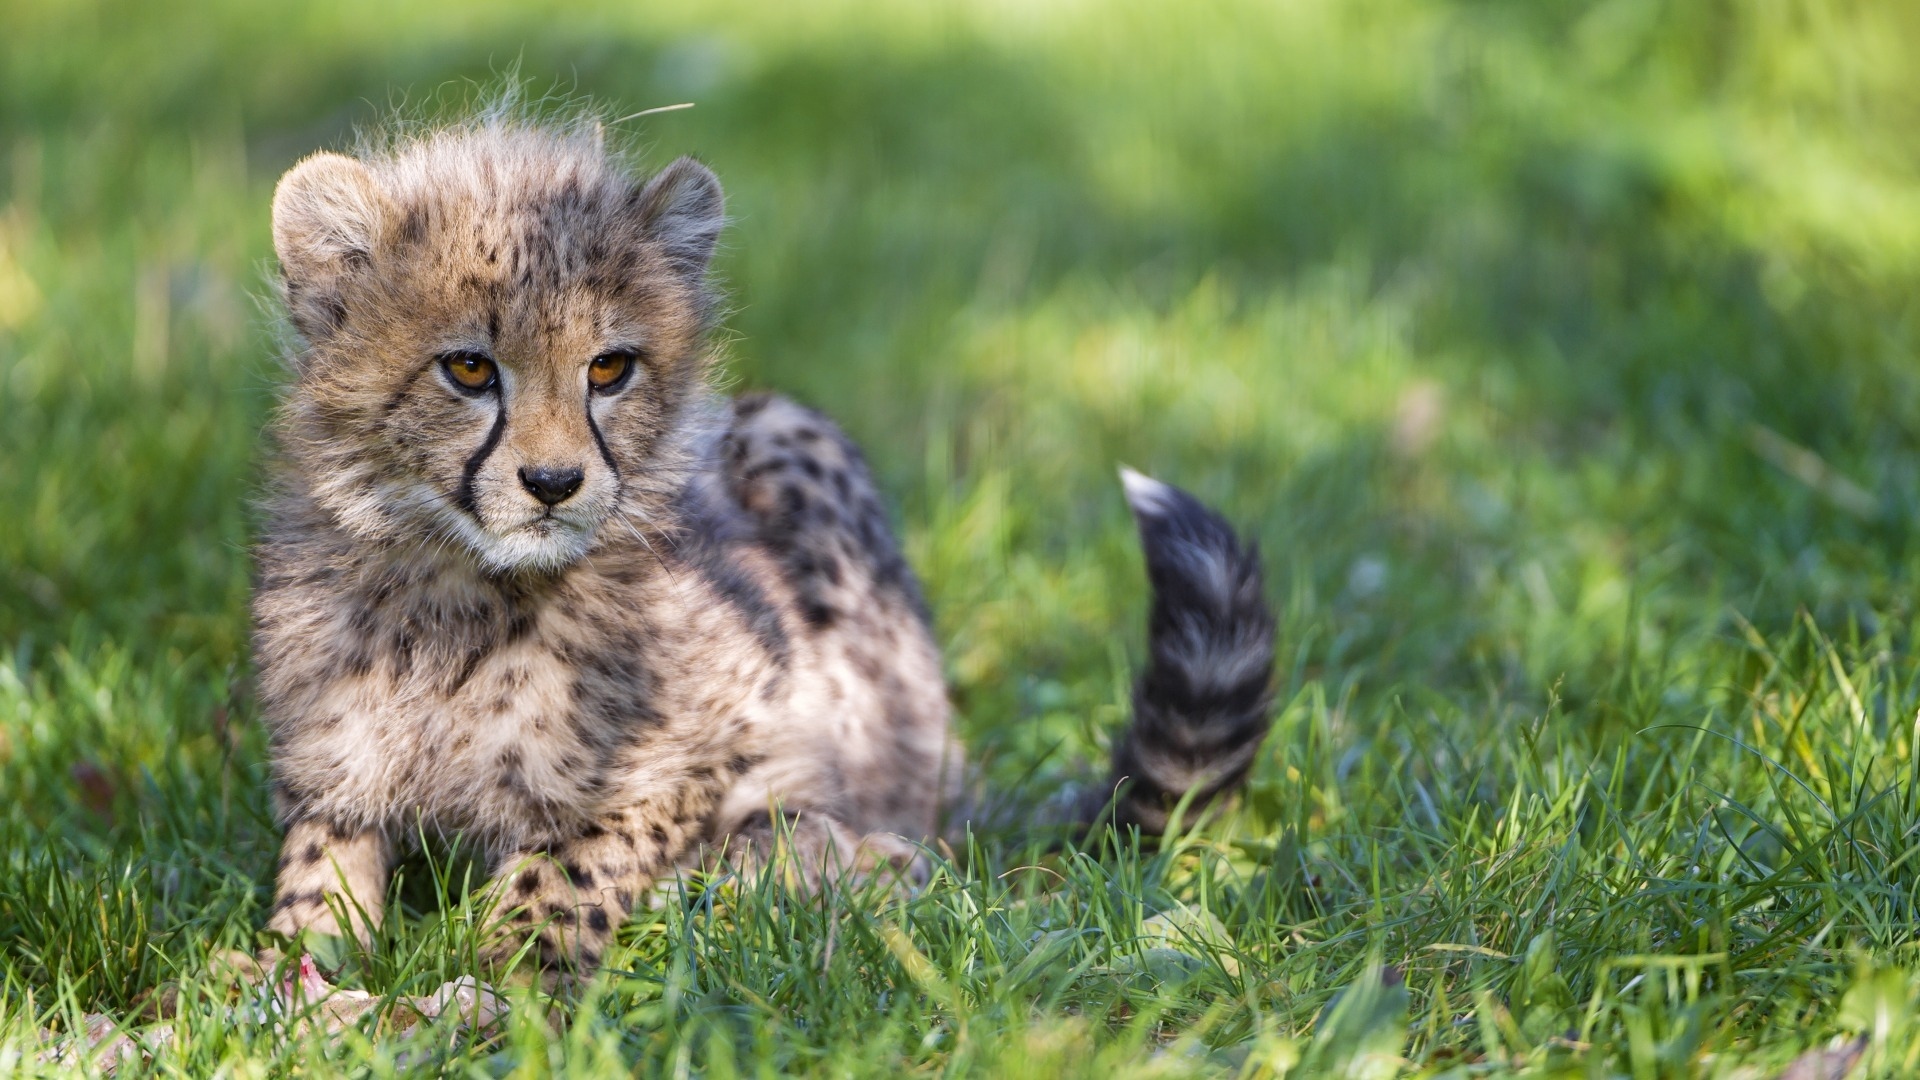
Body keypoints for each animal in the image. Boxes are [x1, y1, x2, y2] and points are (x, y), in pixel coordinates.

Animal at [253, 108, 1278, 979]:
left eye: (609, 367)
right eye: (469, 368)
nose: (553, 484)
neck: (464, 594)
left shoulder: (746, 716)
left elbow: (590, 847)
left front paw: (517, 964)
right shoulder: (332, 761)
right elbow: (317, 866)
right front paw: (291, 977)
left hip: (799, 456)